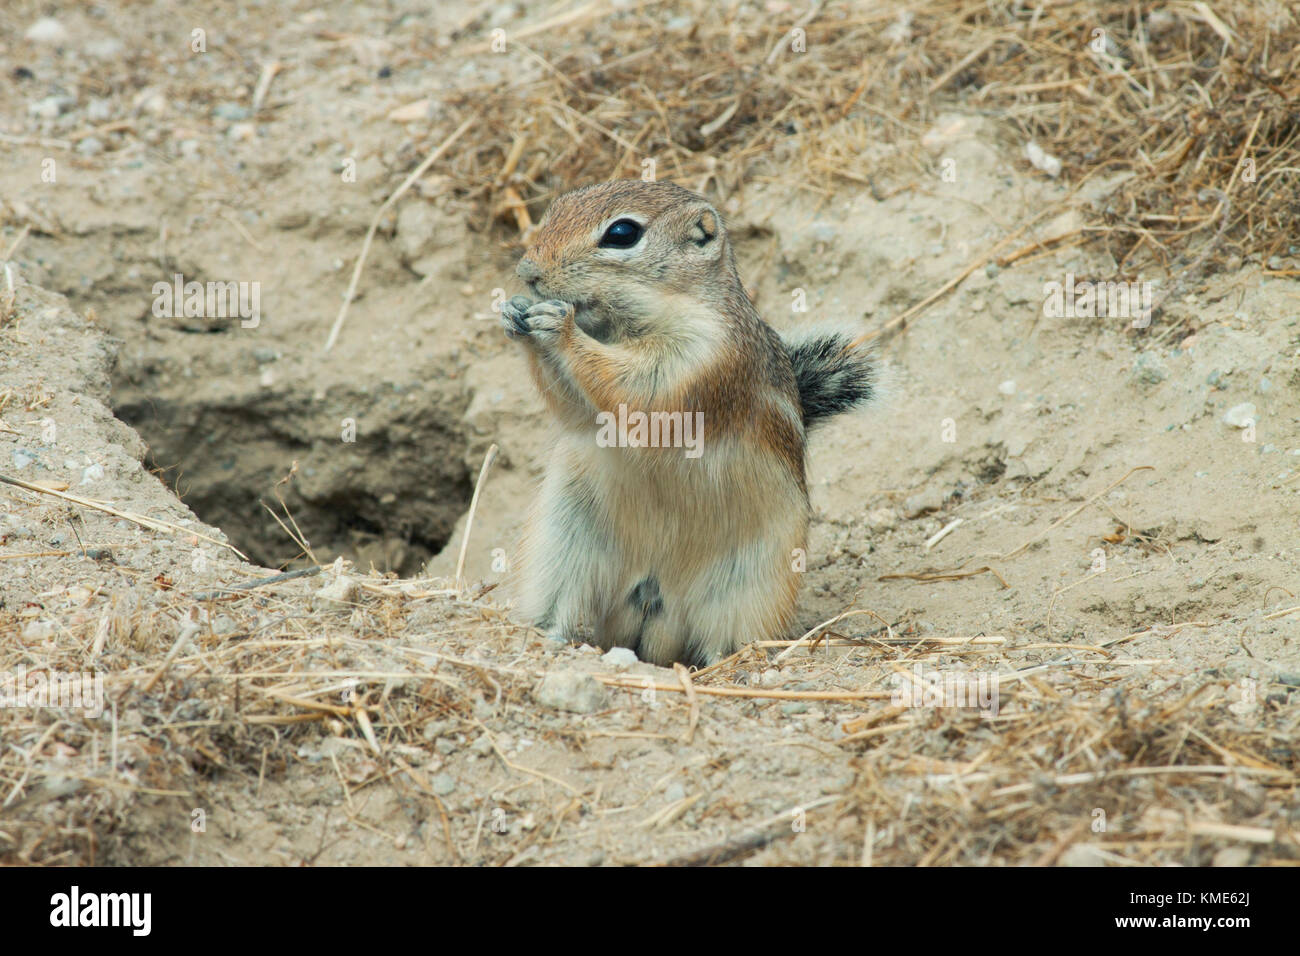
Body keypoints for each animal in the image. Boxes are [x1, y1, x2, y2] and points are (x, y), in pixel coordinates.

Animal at [499, 180, 876, 667]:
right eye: (557, 206)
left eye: (622, 233)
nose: (527, 272)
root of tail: (653, 609)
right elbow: (574, 411)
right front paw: (514, 313)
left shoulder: (700, 359)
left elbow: (635, 392)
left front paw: (558, 327)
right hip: (563, 549)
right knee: (568, 605)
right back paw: (553, 637)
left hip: (750, 585)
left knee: (725, 638)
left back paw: (731, 664)